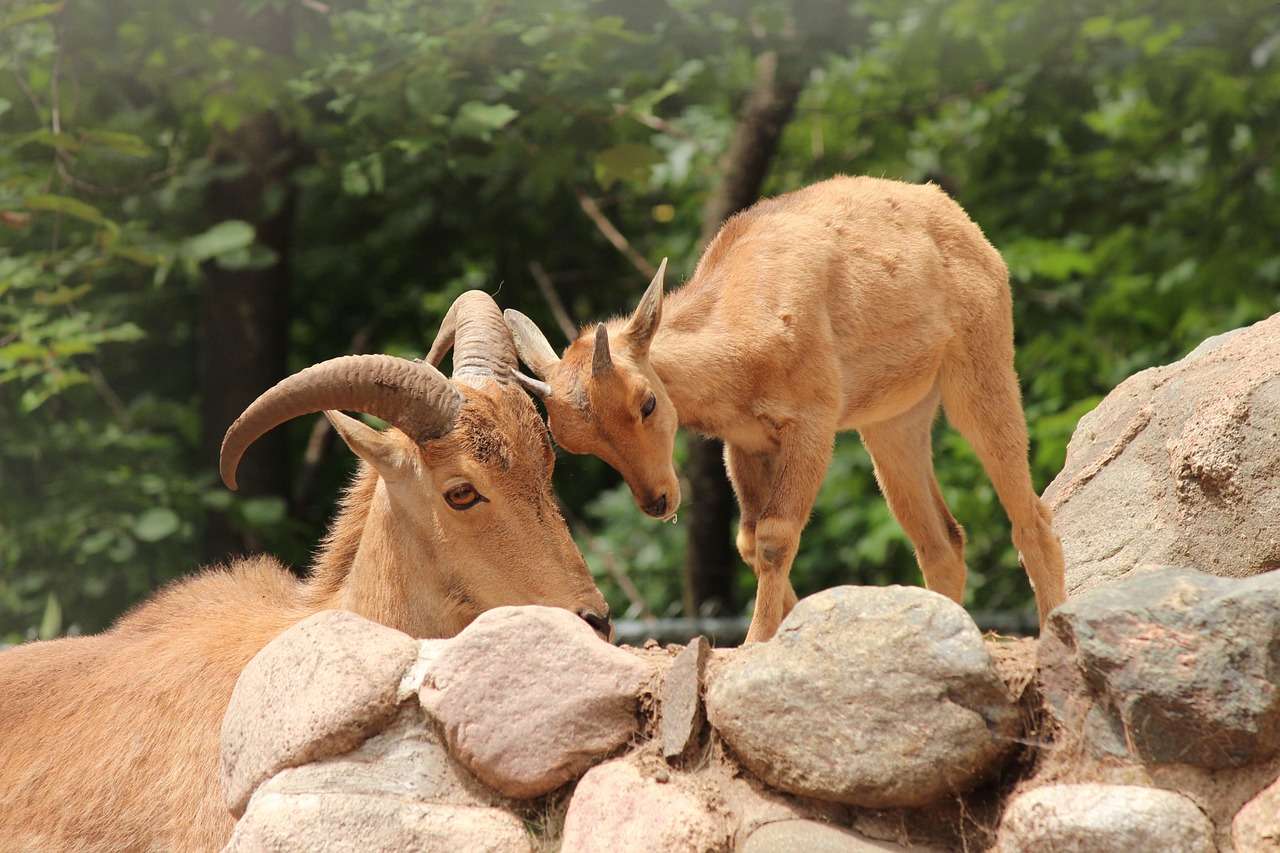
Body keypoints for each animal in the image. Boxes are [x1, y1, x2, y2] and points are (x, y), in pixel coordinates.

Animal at [504, 175, 1067, 643]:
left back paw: (1050, 627)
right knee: (942, 542)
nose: (658, 500)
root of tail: (966, 224)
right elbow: (750, 541)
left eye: (646, 403)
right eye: (575, 443)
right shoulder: (745, 443)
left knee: (1030, 513)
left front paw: (756, 640)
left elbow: (775, 536)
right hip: (894, 421)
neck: (739, 337)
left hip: (981, 366)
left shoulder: (812, 423)